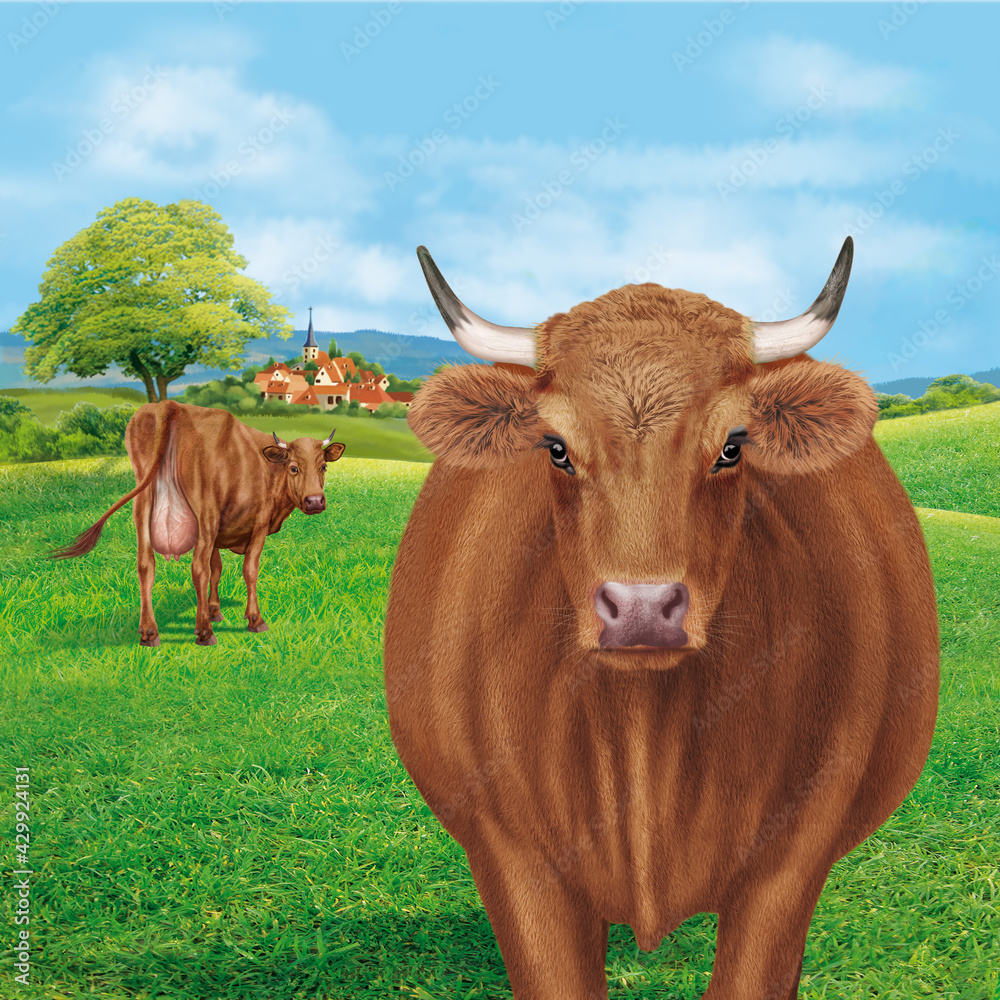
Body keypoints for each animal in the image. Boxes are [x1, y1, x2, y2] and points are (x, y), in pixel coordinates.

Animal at [52, 400, 345, 646]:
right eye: (294, 468)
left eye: (323, 467)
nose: (315, 501)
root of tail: (169, 404)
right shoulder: (258, 524)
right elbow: (247, 570)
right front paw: (253, 619)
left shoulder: (218, 533)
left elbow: (217, 568)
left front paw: (214, 610)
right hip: (205, 512)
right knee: (197, 568)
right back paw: (204, 632)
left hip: (143, 505)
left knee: (146, 565)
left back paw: (149, 632)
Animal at [383, 238, 939, 999]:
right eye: (556, 447)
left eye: (733, 444)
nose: (642, 609)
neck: (646, 737)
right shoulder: (512, 857)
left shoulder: (792, 861)